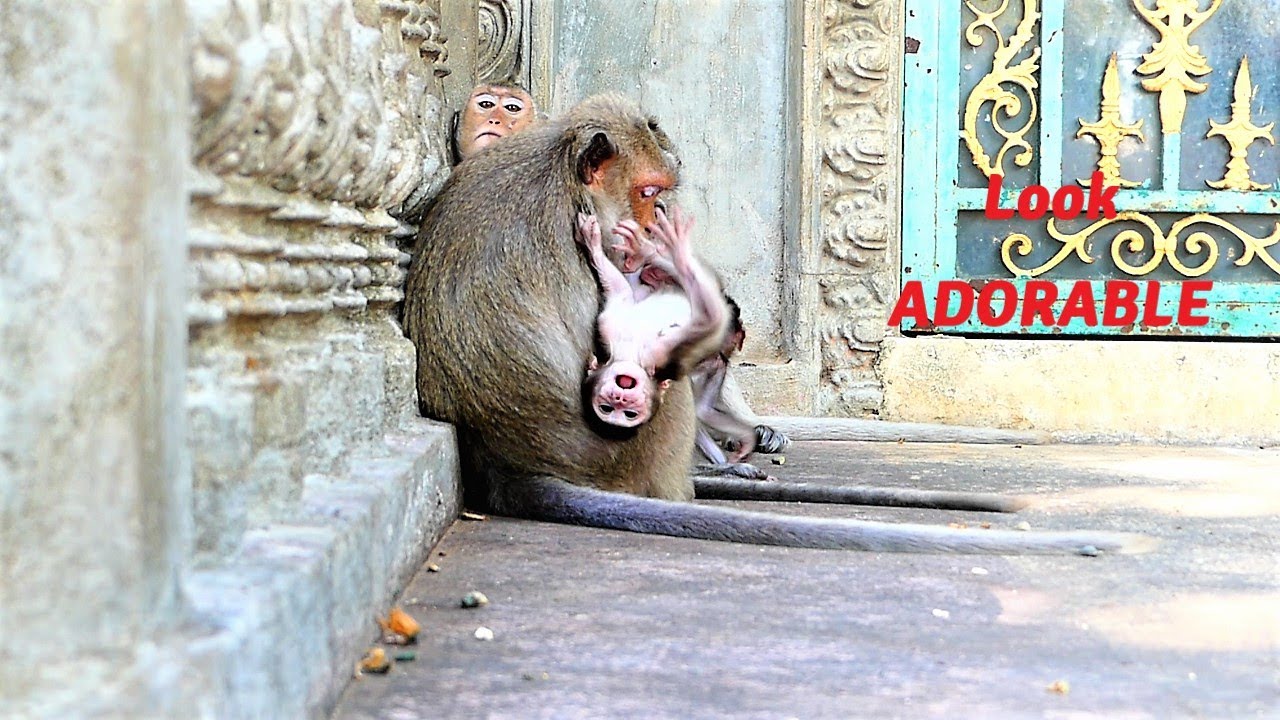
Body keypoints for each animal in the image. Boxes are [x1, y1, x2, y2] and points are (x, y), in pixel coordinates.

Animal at [577, 206, 729, 429]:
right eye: (607, 409)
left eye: (629, 414)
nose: (621, 398)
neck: (631, 353)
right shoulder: (609, 326)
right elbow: (623, 292)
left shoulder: (657, 351)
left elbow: (711, 319)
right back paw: (651, 255)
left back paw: (650, 251)